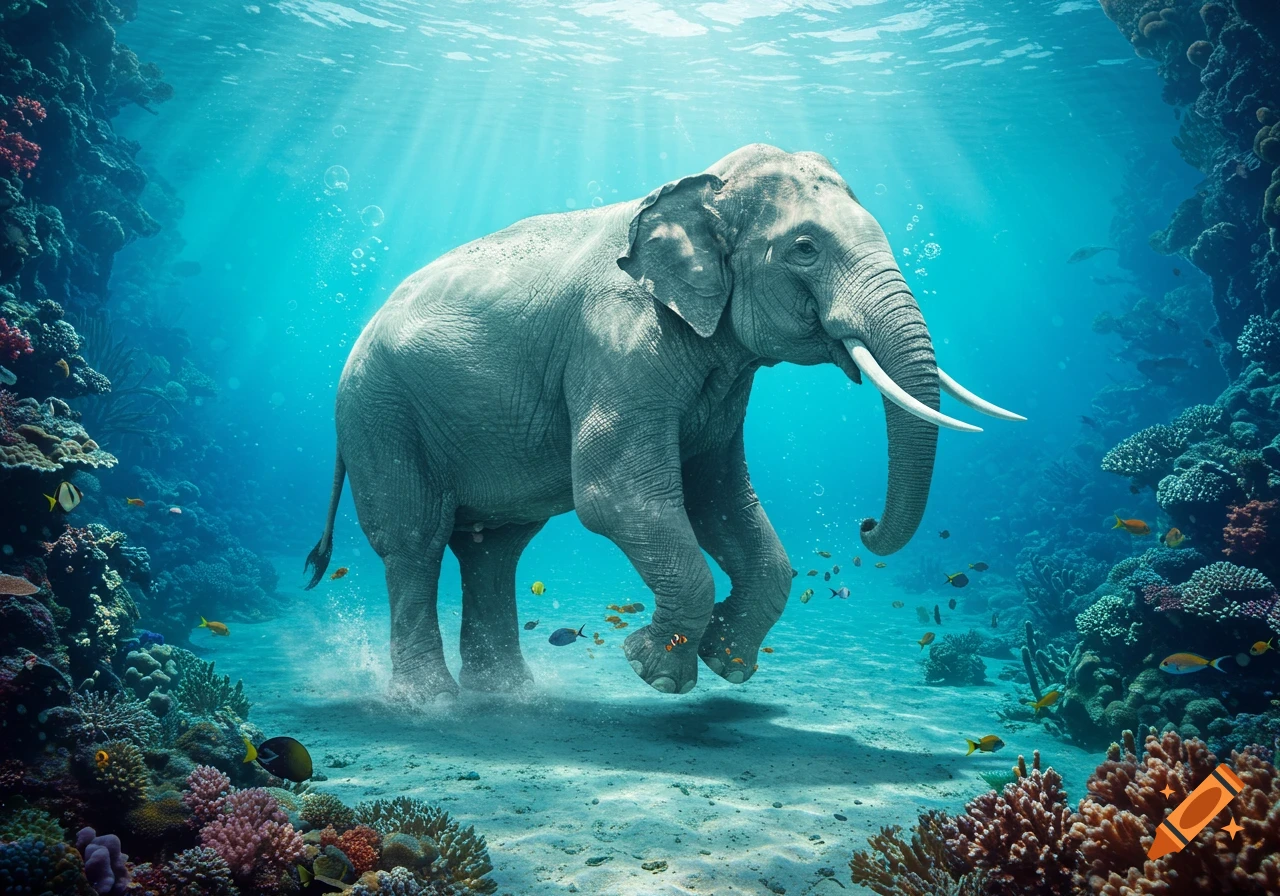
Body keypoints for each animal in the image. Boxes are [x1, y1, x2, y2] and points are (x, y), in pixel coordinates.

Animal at [304, 143, 1022, 700]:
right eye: (805, 249)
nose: (865, 524)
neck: (700, 186)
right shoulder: (616, 345)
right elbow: (615, 497)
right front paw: (656, 673)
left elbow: (722, 501)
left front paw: (725, 666)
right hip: (379, 415)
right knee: (414, 541)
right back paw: (432, 703)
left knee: (494, 549)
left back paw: (508, 695)